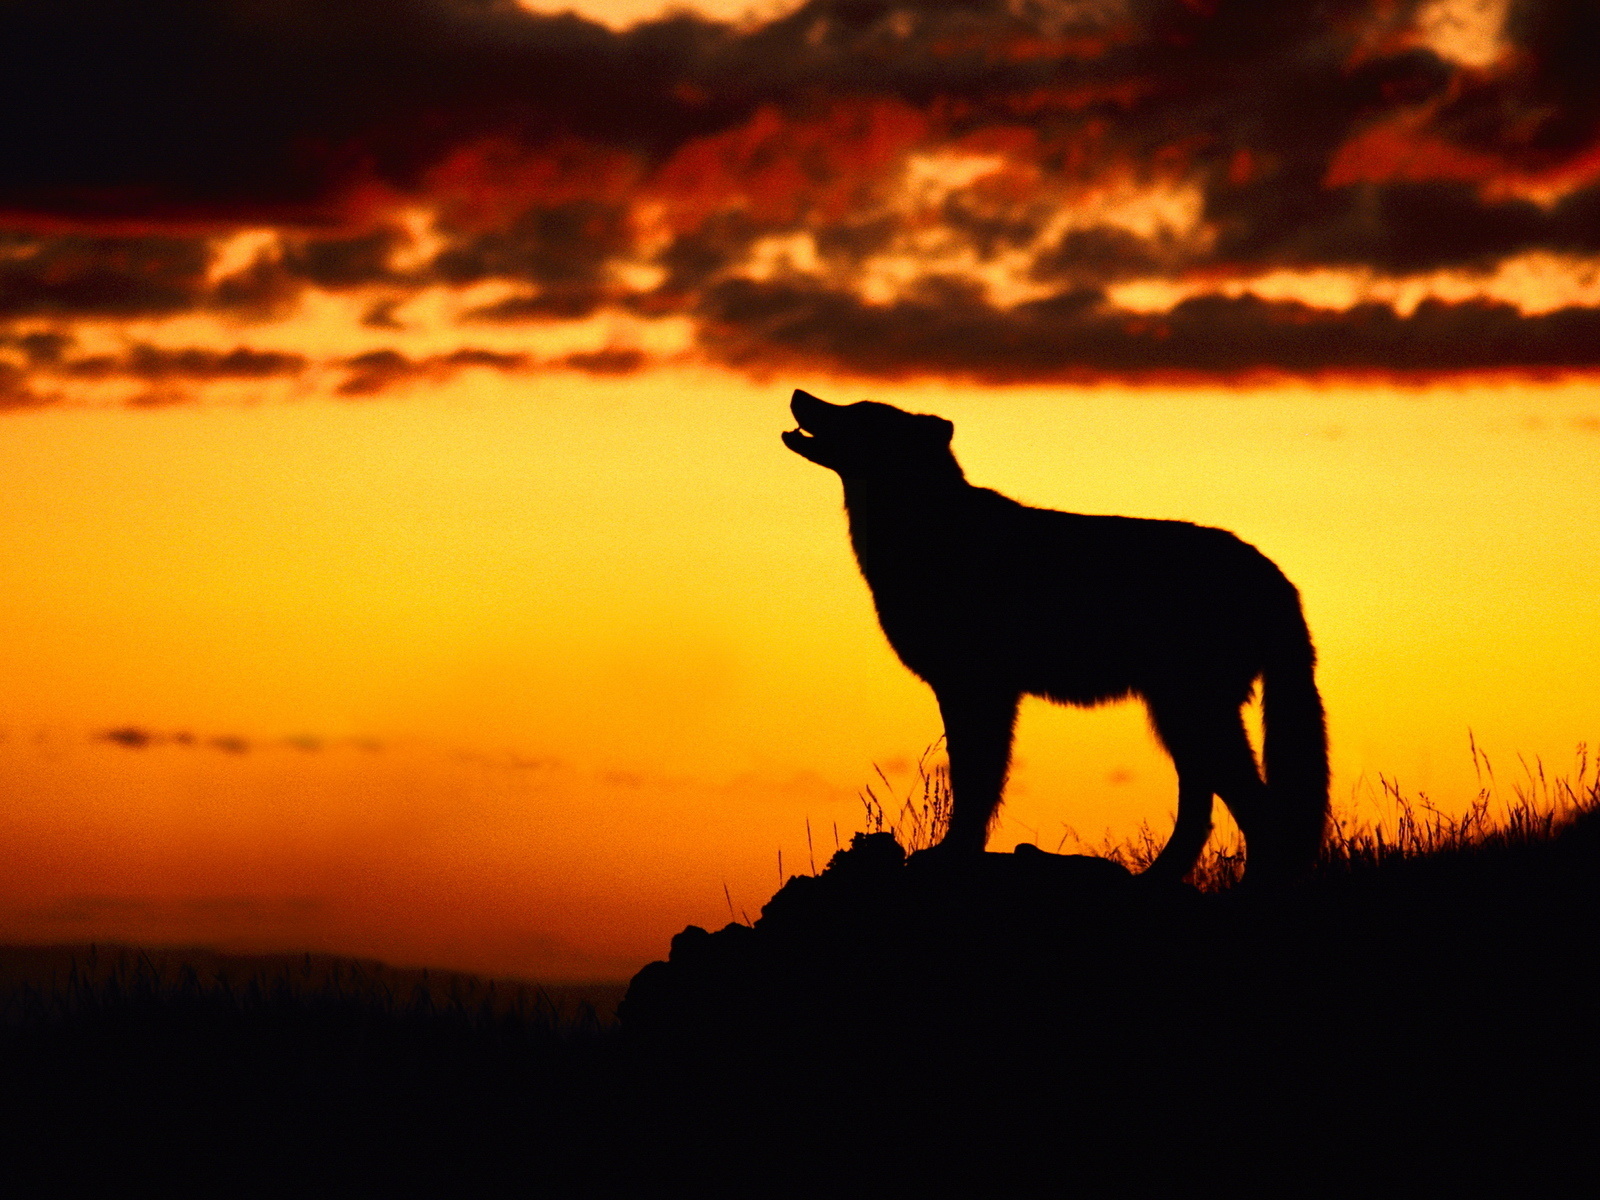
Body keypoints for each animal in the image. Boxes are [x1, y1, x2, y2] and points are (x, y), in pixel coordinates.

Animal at [783, 389, 1328, 883]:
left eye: (858, 413)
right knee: (1208, 809)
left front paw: (951, 855)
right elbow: (977, 779)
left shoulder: (976, 689)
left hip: (1191, 713)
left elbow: (975, 780)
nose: (798, 393)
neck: (928, 531)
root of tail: (1277, 577)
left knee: (1259, 810)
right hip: (1182, 718)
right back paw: (1155, 879)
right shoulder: (979, 693)